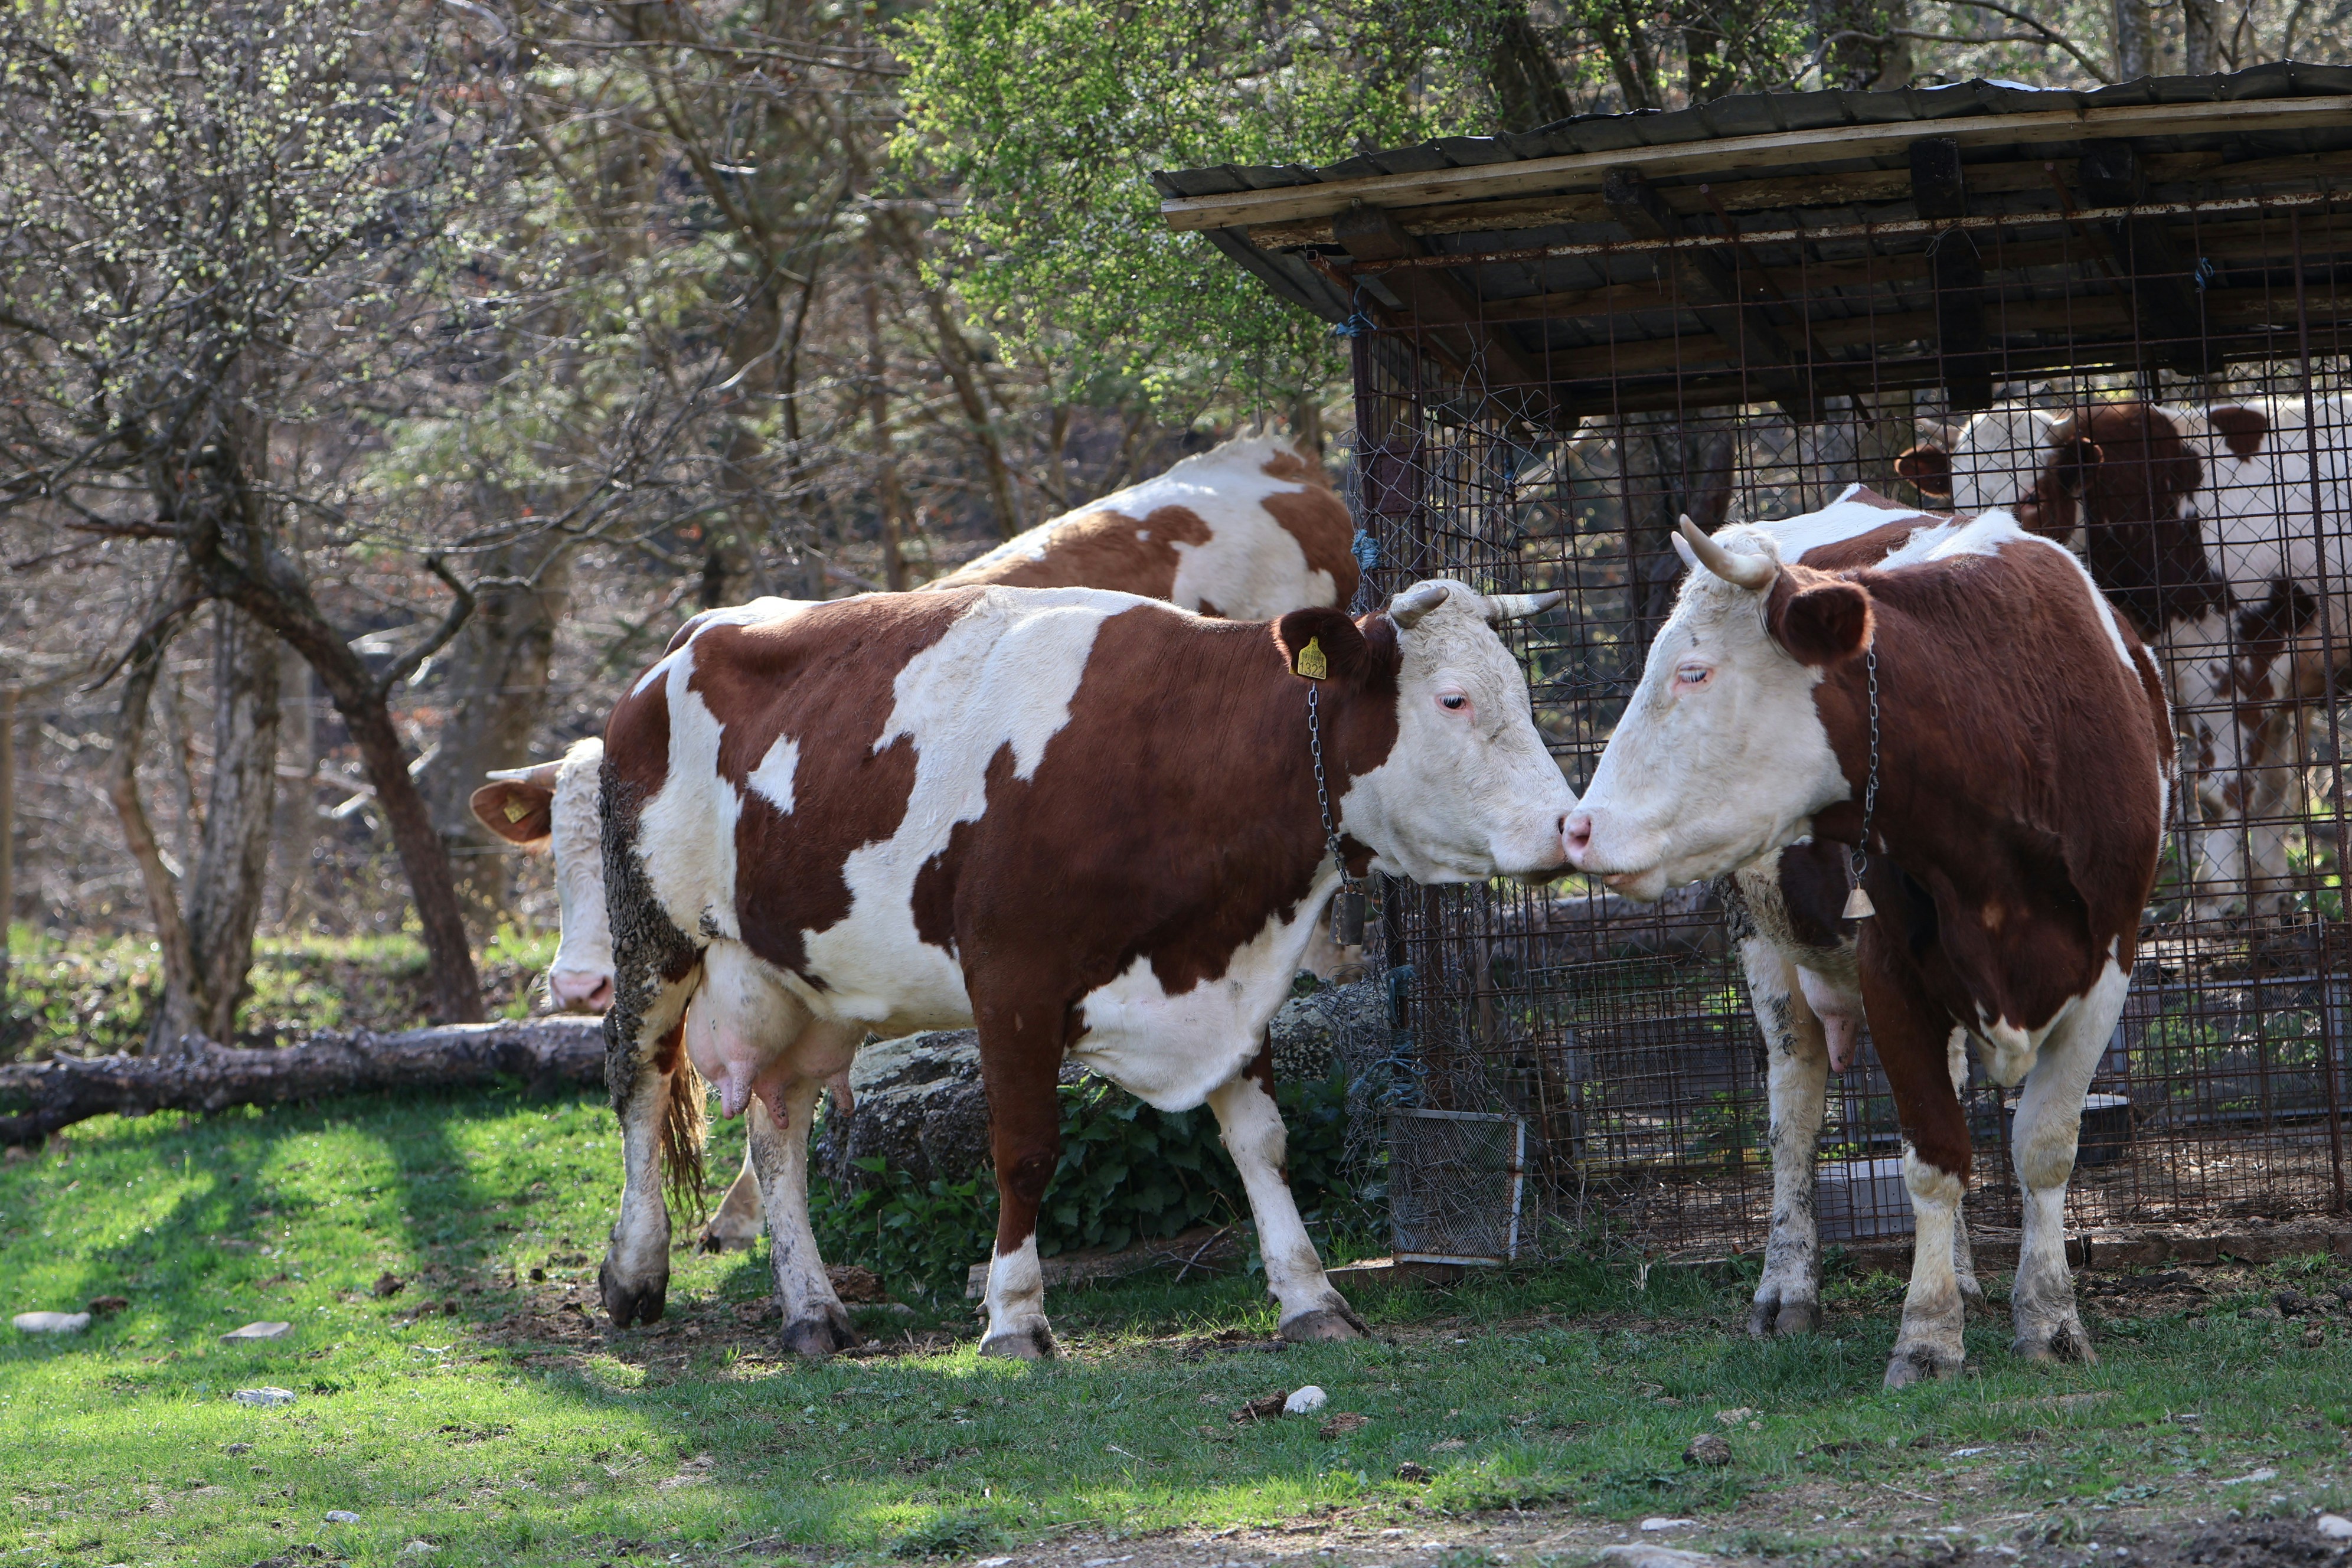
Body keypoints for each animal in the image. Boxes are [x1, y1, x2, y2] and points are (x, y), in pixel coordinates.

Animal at [594, 579, 1573, 1359]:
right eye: (1452, 700)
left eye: (1520, 694)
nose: (1568, 826)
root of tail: (688, 641)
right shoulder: (1013, 982)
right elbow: (1024, 1154)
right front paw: (1015, 1320)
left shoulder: (1232, 978)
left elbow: (1263, 1141)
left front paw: (1311, 1298)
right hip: (654, 932)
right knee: (637, 1077)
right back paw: (636, 1272)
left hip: (802, 976)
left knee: (779, 1128)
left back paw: (811, 1311)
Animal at [1563, 489, 2171, 1388]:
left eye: (1694, 671)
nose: (1577, 830)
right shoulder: (1891, 968)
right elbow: (1932, 1156)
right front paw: (1927, 1335)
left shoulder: (2110, 960)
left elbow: (2043, 1147)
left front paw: (2050, 1320)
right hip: (1765, 946)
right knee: (1794, 1112)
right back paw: (1788, 1289)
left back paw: (1966, 1273)